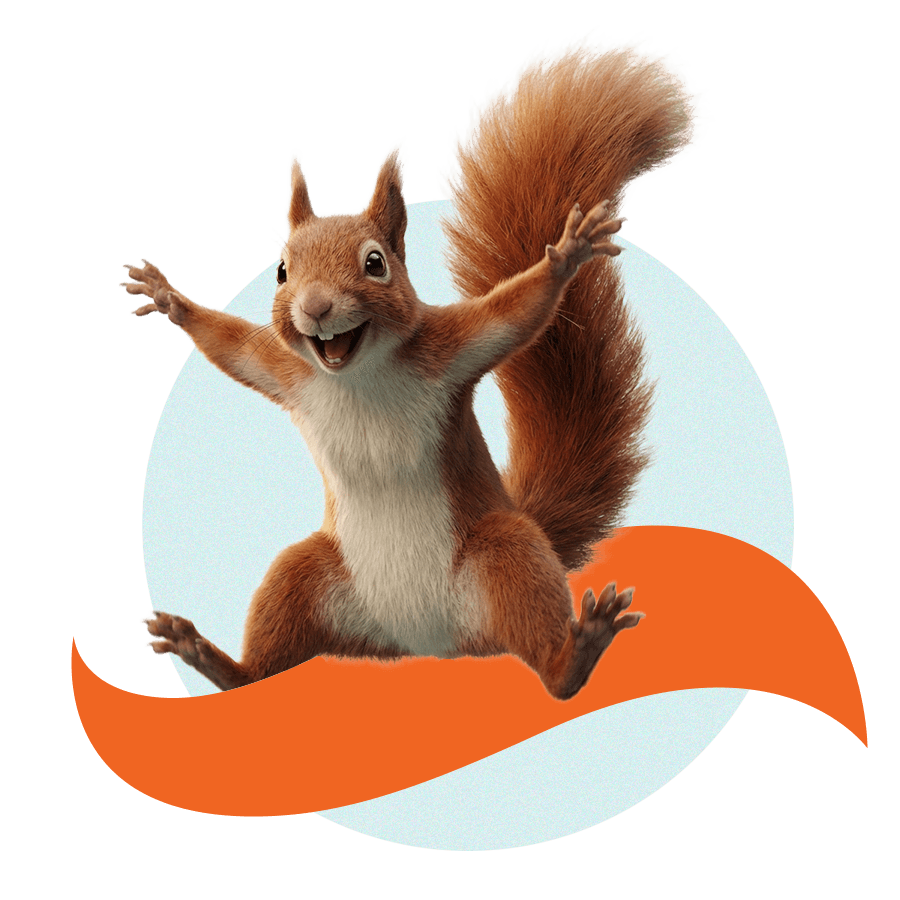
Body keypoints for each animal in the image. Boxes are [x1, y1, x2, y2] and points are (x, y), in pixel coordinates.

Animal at [120, 30, 710, 700]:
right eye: (282, 271)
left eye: (376, 263)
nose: (315, 308)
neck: (359, 372)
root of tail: (425, 642)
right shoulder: (287, 373)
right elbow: (234, 345)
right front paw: (169, 298)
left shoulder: (452, 347)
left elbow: (515, 312)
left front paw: (566, 255)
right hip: (305, 576)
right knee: (265, 668)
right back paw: (210, 657)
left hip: (506, 553)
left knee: (546, 663)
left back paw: (577, 650)